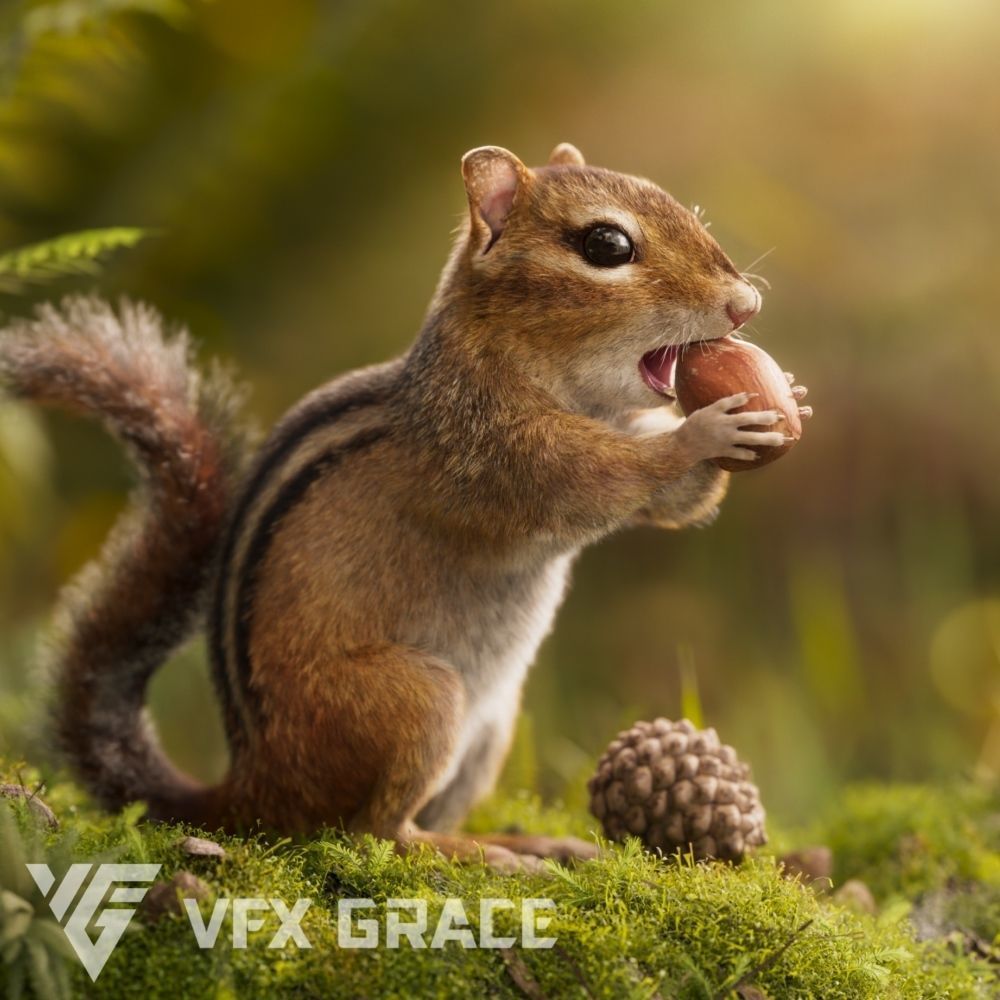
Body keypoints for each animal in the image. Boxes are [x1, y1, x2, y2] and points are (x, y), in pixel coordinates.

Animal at [0, 143, 809, 871]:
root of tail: (254, 789)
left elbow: (670, 506)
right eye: (606, 245)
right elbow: (597, 478)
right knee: (376, 834)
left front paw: (785, 401)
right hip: (415, 700)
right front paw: (705, 431)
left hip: (491, 726)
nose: (747, 305)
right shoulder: (493, 449)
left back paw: (528, 842)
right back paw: (479, 855)